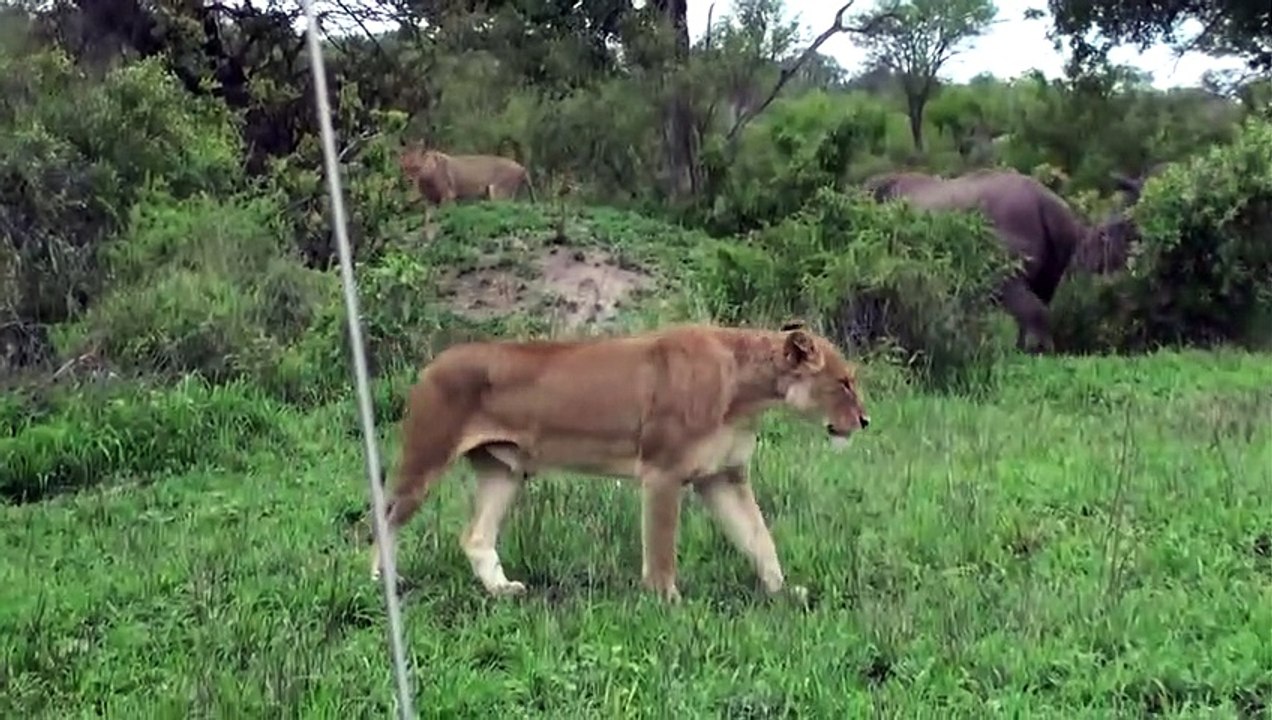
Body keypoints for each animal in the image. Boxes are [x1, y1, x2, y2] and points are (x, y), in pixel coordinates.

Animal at [368, 321, 871, 604]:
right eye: (844, 382)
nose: (865, 420)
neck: (747, 394)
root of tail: (431, 363)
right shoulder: (663, 471)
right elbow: (662, 547)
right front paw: (667, 601)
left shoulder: (722, 477)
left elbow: (759, 538)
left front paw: (784, 592)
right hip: (425, 459)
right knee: (385, 517)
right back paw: (380, 582)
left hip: (505, 470)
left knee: (474, 536)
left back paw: (502, 591)